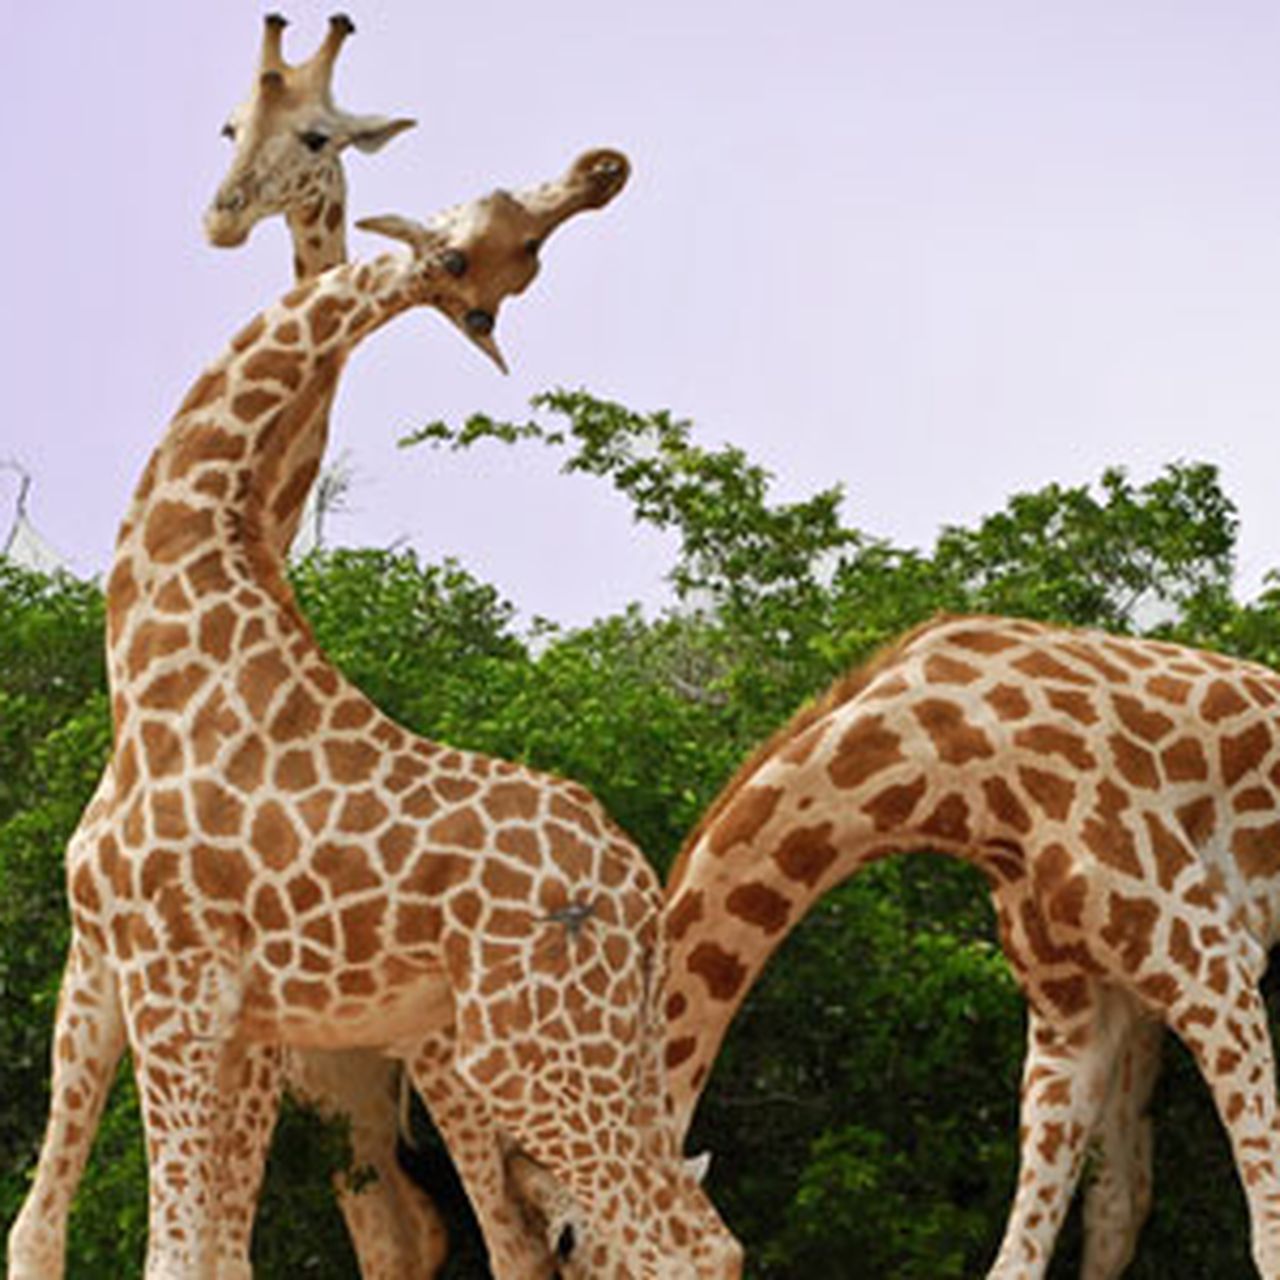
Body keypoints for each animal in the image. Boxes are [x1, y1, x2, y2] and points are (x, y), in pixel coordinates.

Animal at [11, 150, 742, 1280]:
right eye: (484, 248)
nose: (600, 169)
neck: (152, 658)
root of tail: (637, 889)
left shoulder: (179, 984)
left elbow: (175, 1249)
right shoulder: (110, 968)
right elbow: (50, 1229)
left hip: (521, 1045)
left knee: (674, 1241)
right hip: (589, 1043)